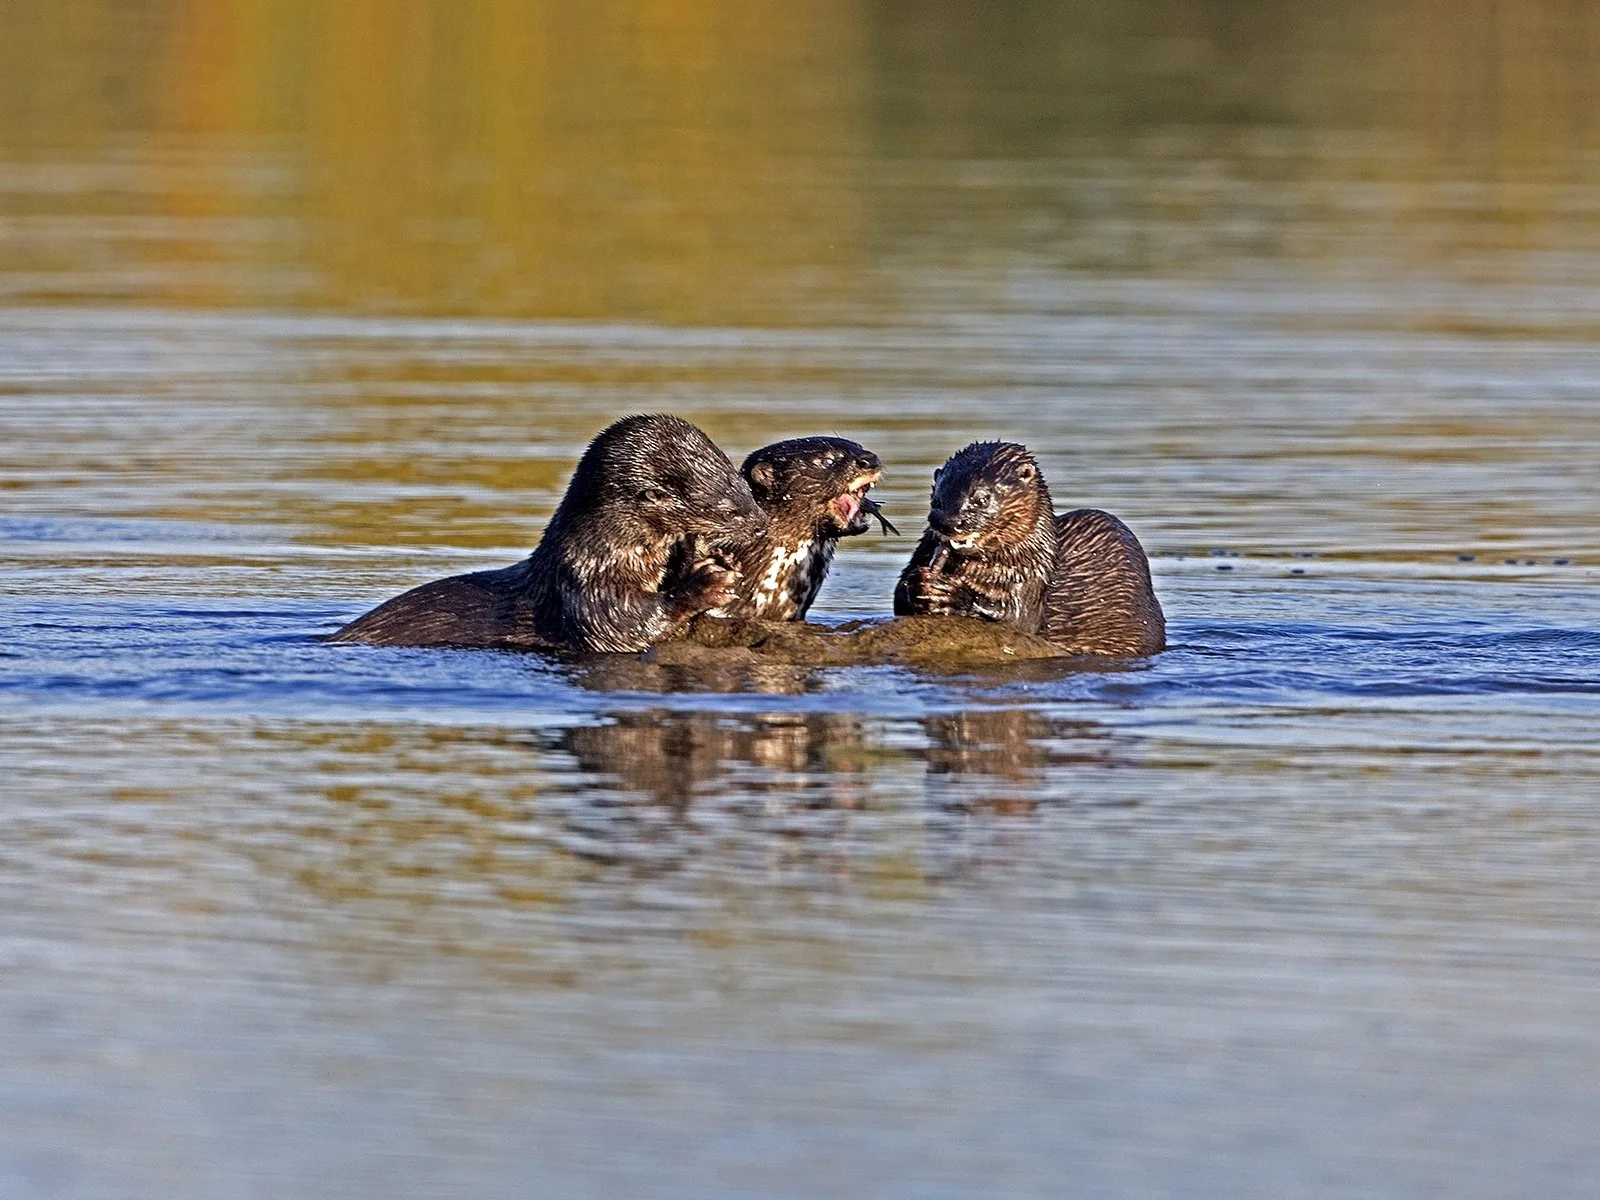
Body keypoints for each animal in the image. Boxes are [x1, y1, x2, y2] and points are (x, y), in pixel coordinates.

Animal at [328, 414, 766, 652]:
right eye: (728, 510)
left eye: (749, 492)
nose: (761, 525)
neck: (610, 554)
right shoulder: (584, 584)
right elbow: (617, 627)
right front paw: (705, 583)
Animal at [893, 441, 1058, 631]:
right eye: (937, 500)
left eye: (982, 499)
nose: (948, 522)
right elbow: (899, 598)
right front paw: (918, 583)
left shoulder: (1029, 578)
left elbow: (1017, 617)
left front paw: (950, 594)